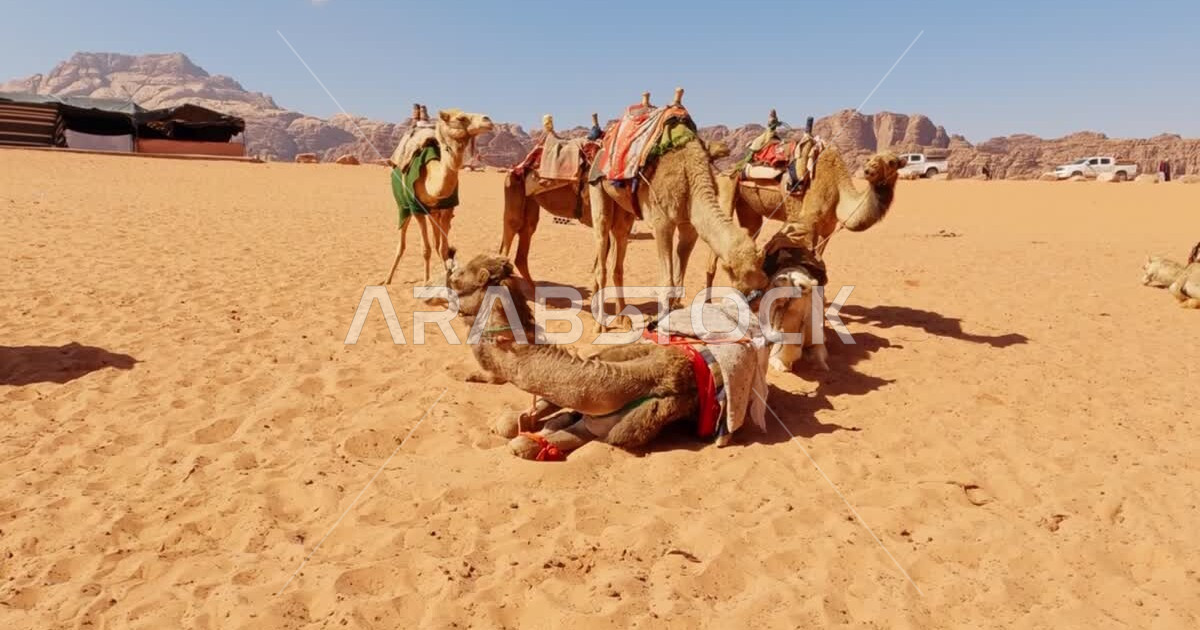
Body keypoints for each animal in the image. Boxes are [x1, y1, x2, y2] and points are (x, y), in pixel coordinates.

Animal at [381, 104, 494, 285]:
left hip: (434, 212)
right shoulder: (417, 209)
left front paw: (449, 279)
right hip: (403, 207)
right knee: (402, 242)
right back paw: (388, 279)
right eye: (461, 118)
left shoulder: (447, 208)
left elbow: (443, 248)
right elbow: (425, 249)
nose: (487, 120)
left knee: (436, 242)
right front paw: (426, 281)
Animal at [589, 89, 767, 325]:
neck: (693, 175)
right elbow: (667, 281)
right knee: (601, 247)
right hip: (596, 187)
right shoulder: (662, 222)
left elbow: (678, 281)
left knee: (618, 248)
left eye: (763, 282)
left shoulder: (690, 226)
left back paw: (623, 317)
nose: (755, 308)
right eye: (746, 287)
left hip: (624, 210)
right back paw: (601, 322)